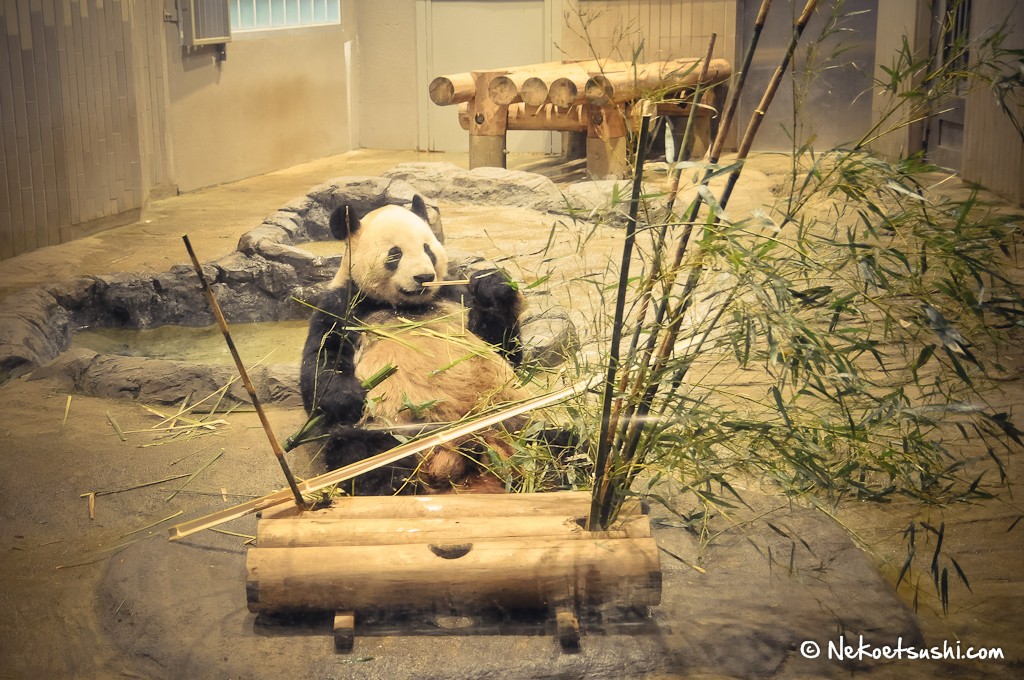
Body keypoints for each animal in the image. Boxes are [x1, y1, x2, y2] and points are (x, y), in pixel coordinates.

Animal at [299, 194, 532, 494]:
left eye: (428, 249)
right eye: (394, 254)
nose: (424, 277)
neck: (406, 306)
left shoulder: (453, 297)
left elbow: (501, 347)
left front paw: (493, 284)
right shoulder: (341, 306)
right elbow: (321, 361)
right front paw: (350, 395)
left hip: (512, 415)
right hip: (394, 428)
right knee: (364, 452)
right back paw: (396, 485)